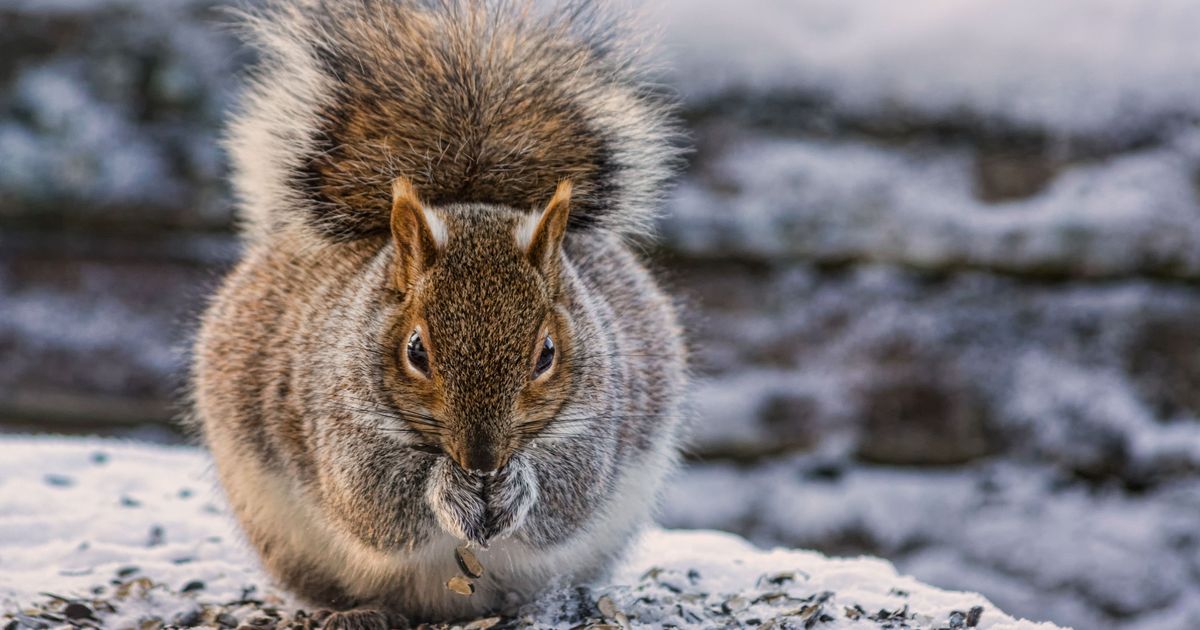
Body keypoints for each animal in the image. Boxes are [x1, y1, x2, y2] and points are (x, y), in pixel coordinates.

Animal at [191, 0, 686, 627]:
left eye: (547, 354)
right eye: (415, 351)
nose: (482, 459)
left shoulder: (597, 419)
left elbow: (569, 495)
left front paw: (517, 484)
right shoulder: (338, 421)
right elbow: (376, 502)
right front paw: (446, 487)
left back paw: (558, 601)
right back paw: (361, 612)